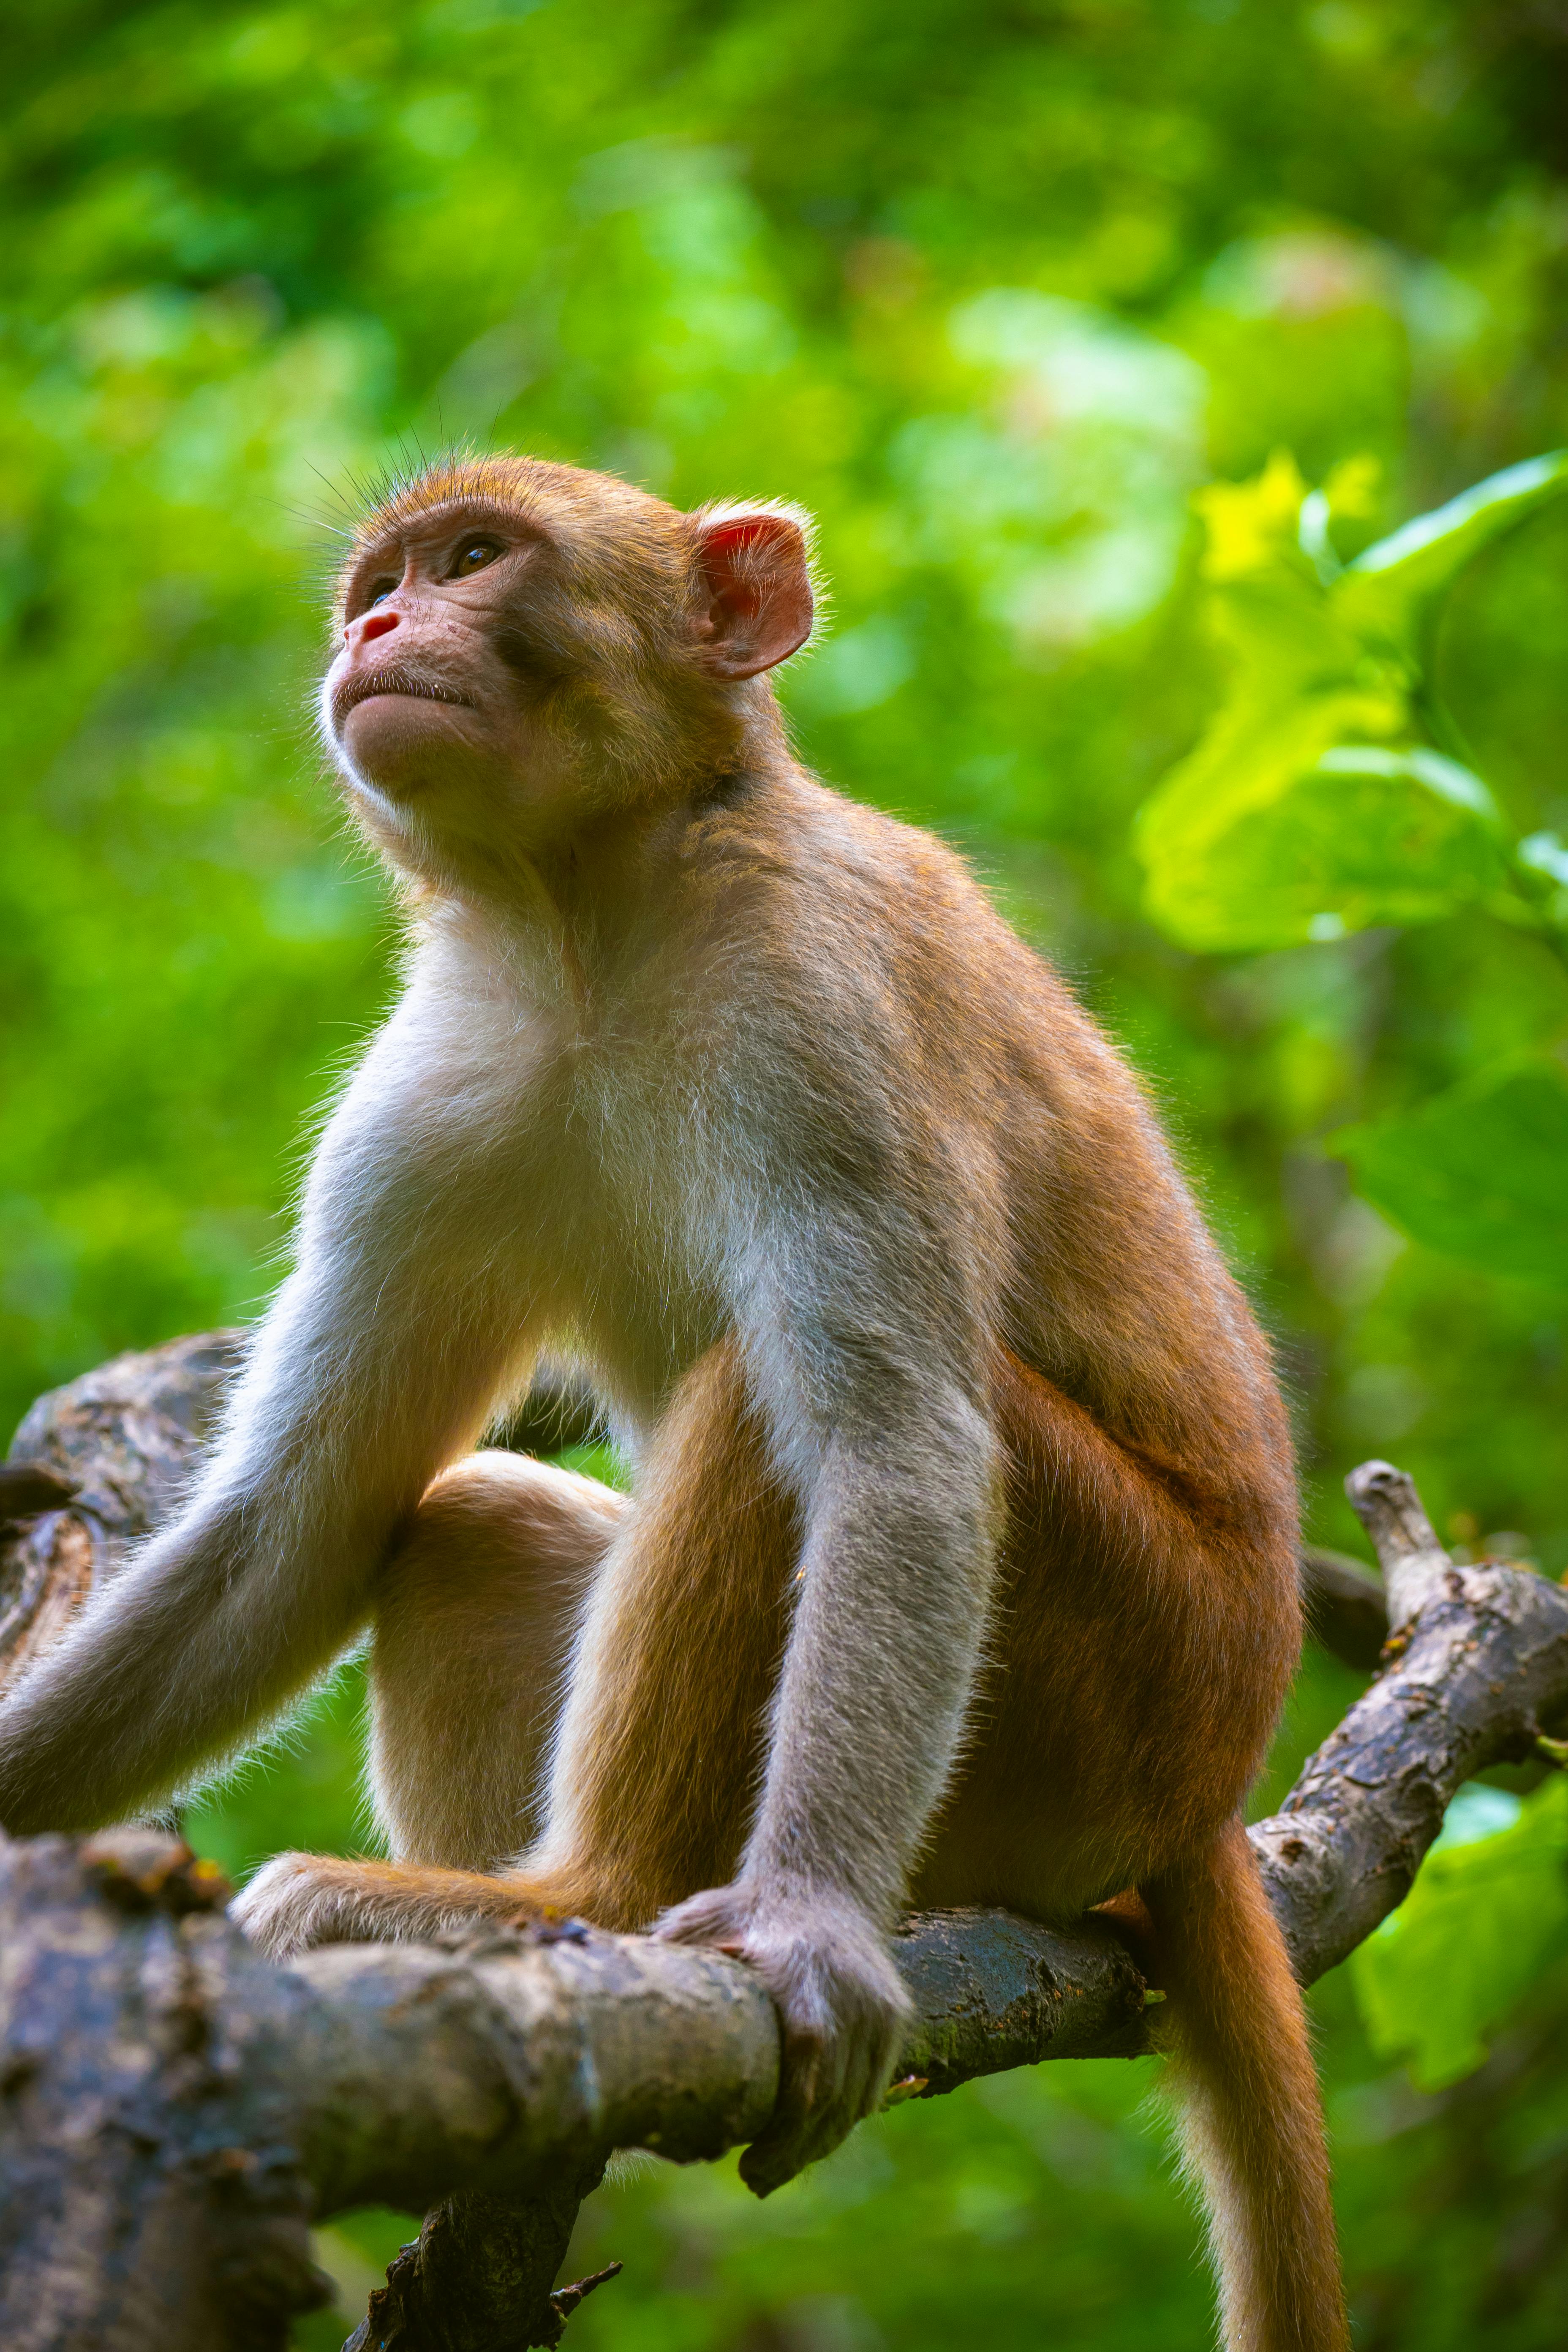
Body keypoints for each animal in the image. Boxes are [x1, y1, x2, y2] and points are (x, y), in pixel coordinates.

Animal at [0, 452, 1346, 2349]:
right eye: (377, 581)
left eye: (474, 558)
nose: (378, 627)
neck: (589, 917)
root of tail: (1213, 1792)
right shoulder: (423, 1094)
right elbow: (306, 1512)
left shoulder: (818, 1004)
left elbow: (898, 1447)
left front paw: (803, 1928)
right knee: (470, 1524)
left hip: (1111, 1679)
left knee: (767, 1414)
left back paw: (578, 1904)